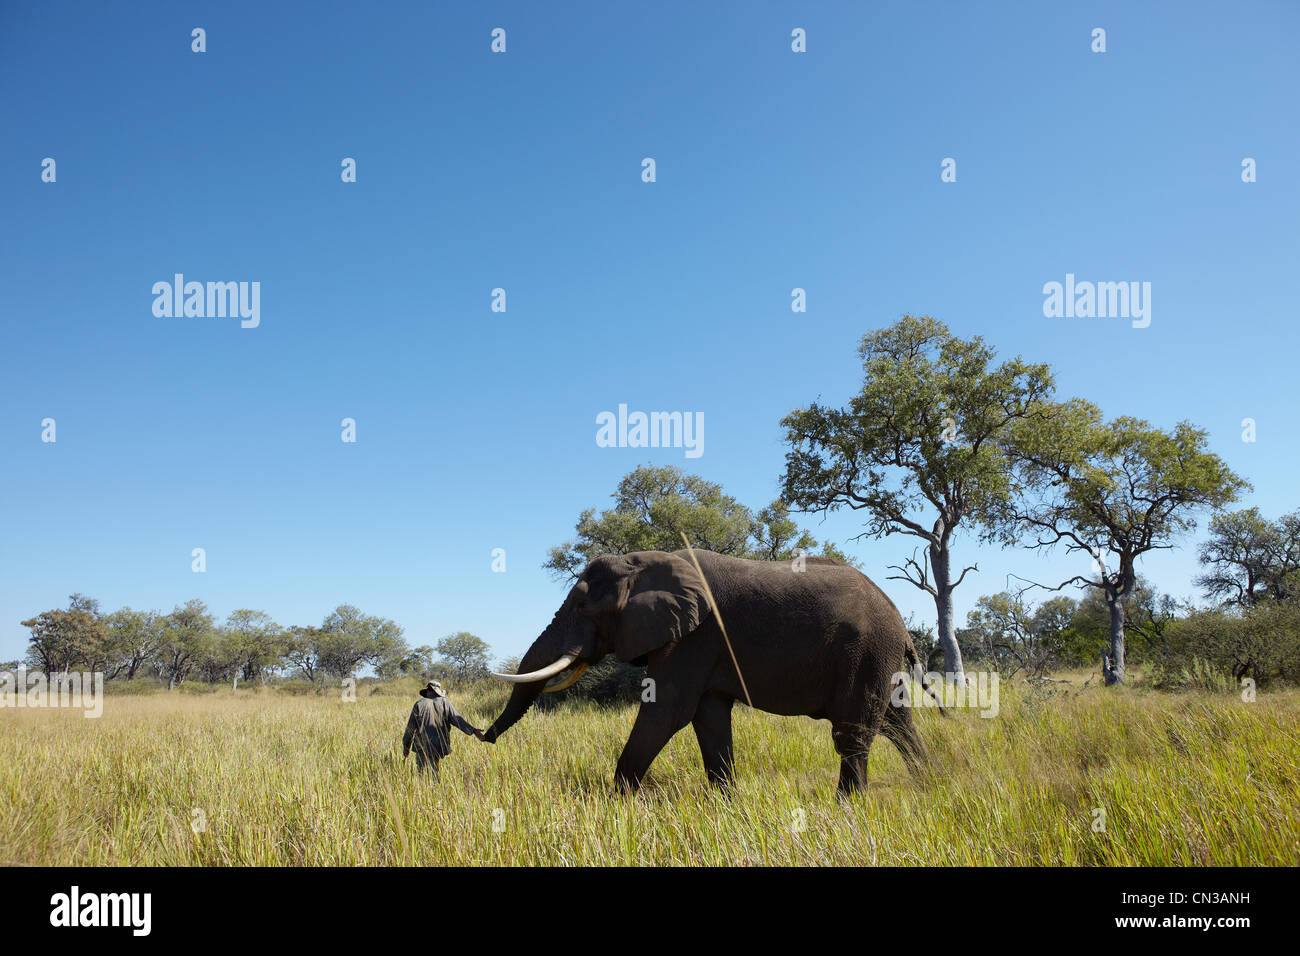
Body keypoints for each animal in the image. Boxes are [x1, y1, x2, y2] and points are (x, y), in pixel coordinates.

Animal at [482, 549, 933, 796]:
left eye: (582, 606)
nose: (482, 735)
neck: (643, 562)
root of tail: (900, 621)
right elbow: (708, 718)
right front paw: (727, 805)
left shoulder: (696, 637)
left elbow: (667, 711)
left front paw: (620, 804)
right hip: (879, 659)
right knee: (897, 722)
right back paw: (933, 782)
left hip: (866, 652)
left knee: (853, 731)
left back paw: (846, 807)